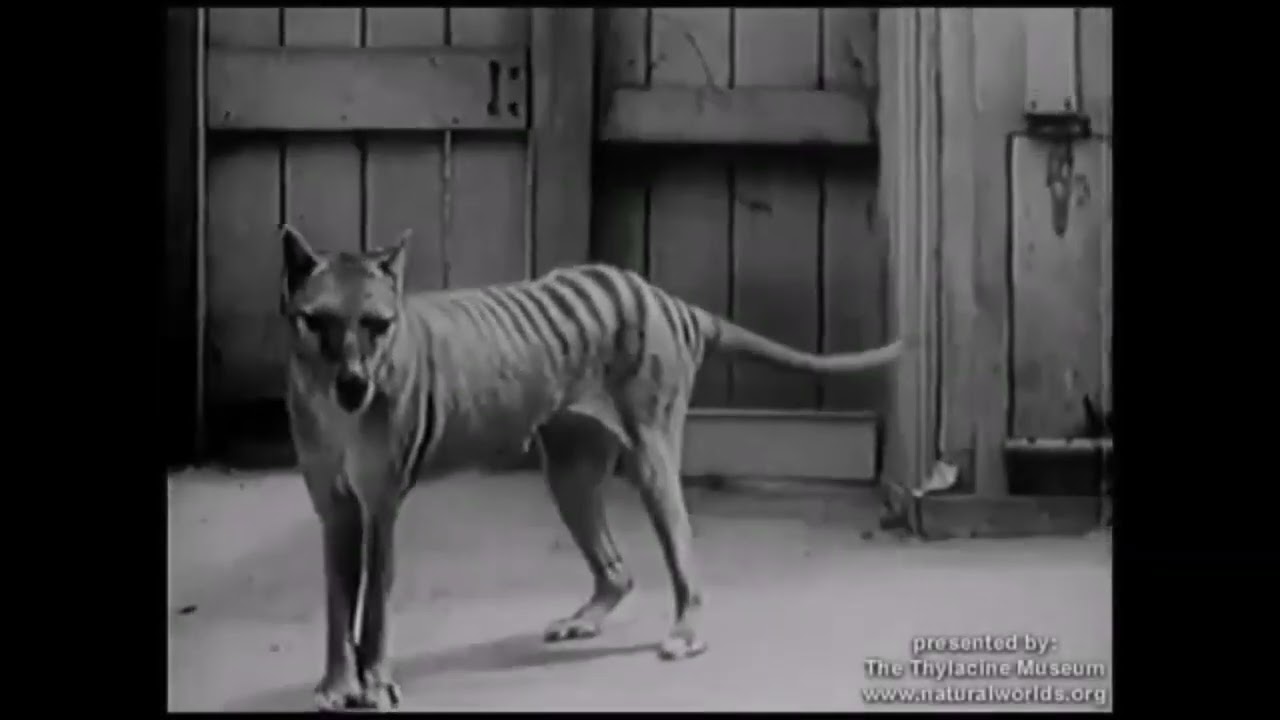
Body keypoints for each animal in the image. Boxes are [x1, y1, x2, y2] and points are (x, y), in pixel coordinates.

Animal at [279, 223, 904, 710]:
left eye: (378, 324)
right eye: (316, 320)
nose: (353, 385)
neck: (338, 412)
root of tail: (666, 299)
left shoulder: (380, 507)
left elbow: (375, 611)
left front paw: (374, 683)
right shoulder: (335, 509)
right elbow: (338, 602)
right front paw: (337, 683)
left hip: (652, 458)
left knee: (683, 552)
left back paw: (687, 629)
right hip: (570, 475)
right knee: (616, 569)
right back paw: (587, 616)